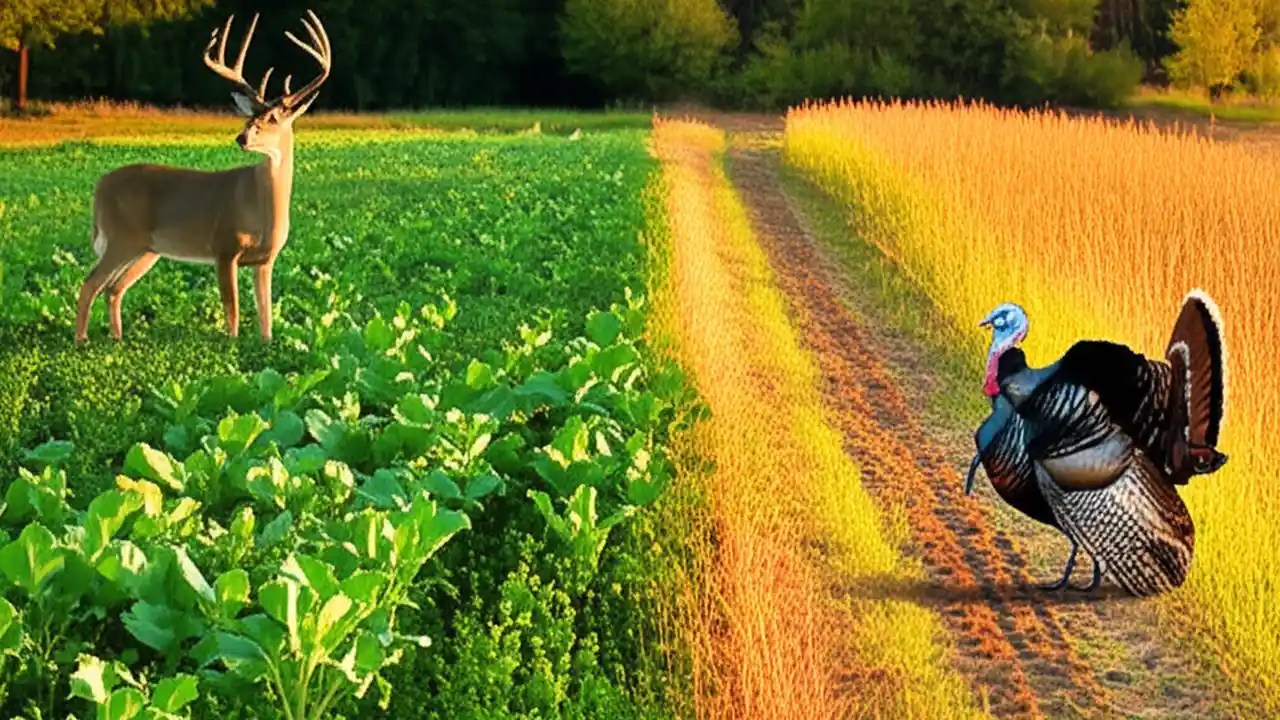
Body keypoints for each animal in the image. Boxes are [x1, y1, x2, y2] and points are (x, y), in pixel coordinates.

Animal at [74, 10, 332, 345]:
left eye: (273, 118)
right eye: (249, 117)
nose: (241, 138)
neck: (261, 207)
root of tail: (100, 184)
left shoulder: (266, 259)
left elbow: (266, 315)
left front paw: (266, 345)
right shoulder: (224, 246)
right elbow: (233, 312)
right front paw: (231, 346)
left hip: (146, 248)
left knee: (113, 288)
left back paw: (116, 338)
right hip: (121, 237)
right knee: (90, 284)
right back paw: (81, 340)